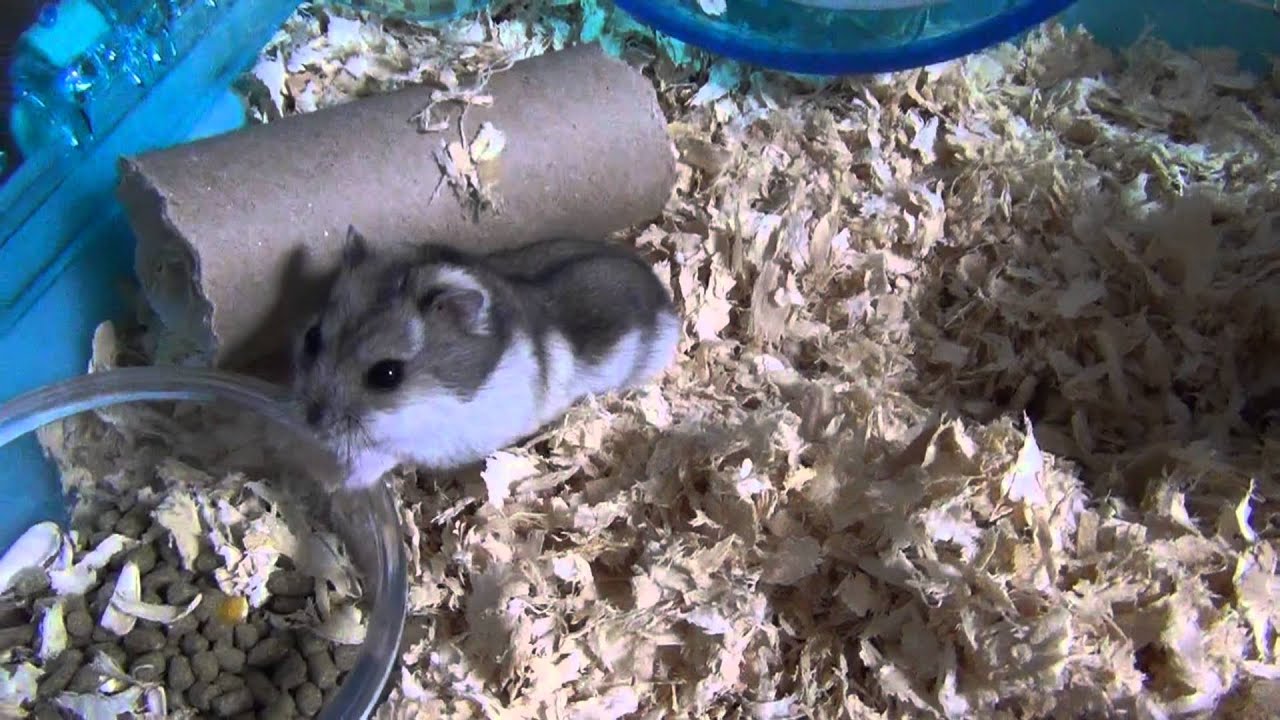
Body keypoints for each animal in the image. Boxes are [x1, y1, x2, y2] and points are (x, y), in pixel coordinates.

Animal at [291, 226, 682, 490]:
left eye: (387, 375)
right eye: (311, 338)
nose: (311, 423)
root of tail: (665, 299)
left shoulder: (441, 440)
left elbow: (386, 453)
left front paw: (333, 480)